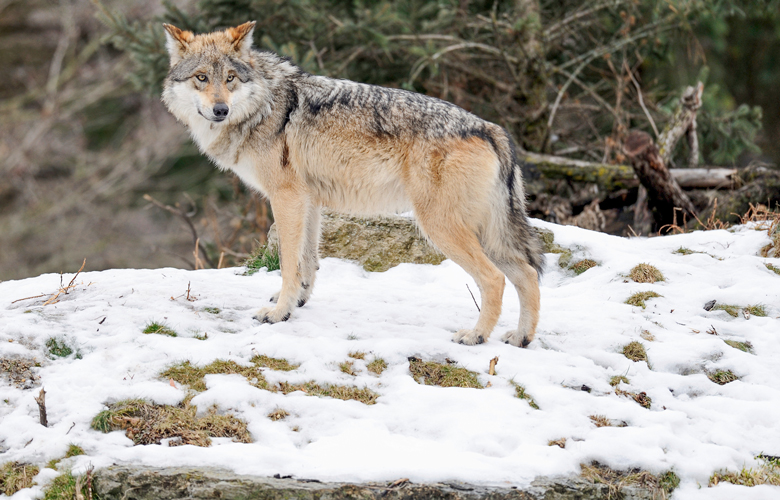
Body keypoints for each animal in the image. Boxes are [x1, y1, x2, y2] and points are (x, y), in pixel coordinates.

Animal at [161, 21, 543, 347]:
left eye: (230, 78)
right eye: (201, 77)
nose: (221, 110)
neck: (264, 104)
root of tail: (490, 128)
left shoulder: (286, 198)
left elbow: (287, 263)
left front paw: (278, 313)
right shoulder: (308, 201)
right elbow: (307, 261)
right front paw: (297, 302)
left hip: (442, 228)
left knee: (495, 279)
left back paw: (476, 336)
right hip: (486, 233)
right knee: (528, 275)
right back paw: (521, 338)